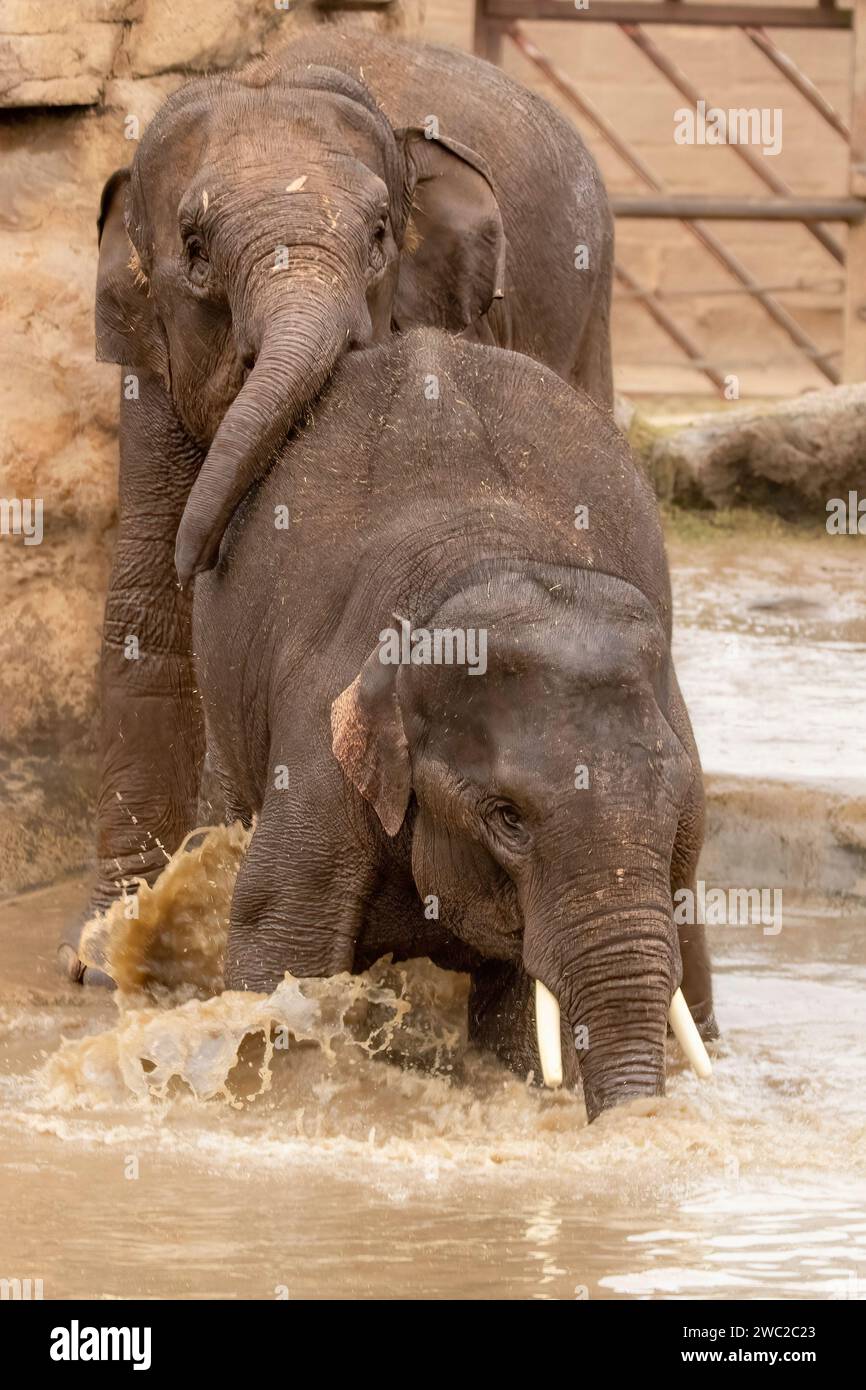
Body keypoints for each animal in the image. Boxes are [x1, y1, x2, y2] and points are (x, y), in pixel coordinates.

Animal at [191, 329, 717, 1121]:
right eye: (507, 818)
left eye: (677, 807)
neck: (489, 558)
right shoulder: (319, 753)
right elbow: (280, 944)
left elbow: (520, 1021)